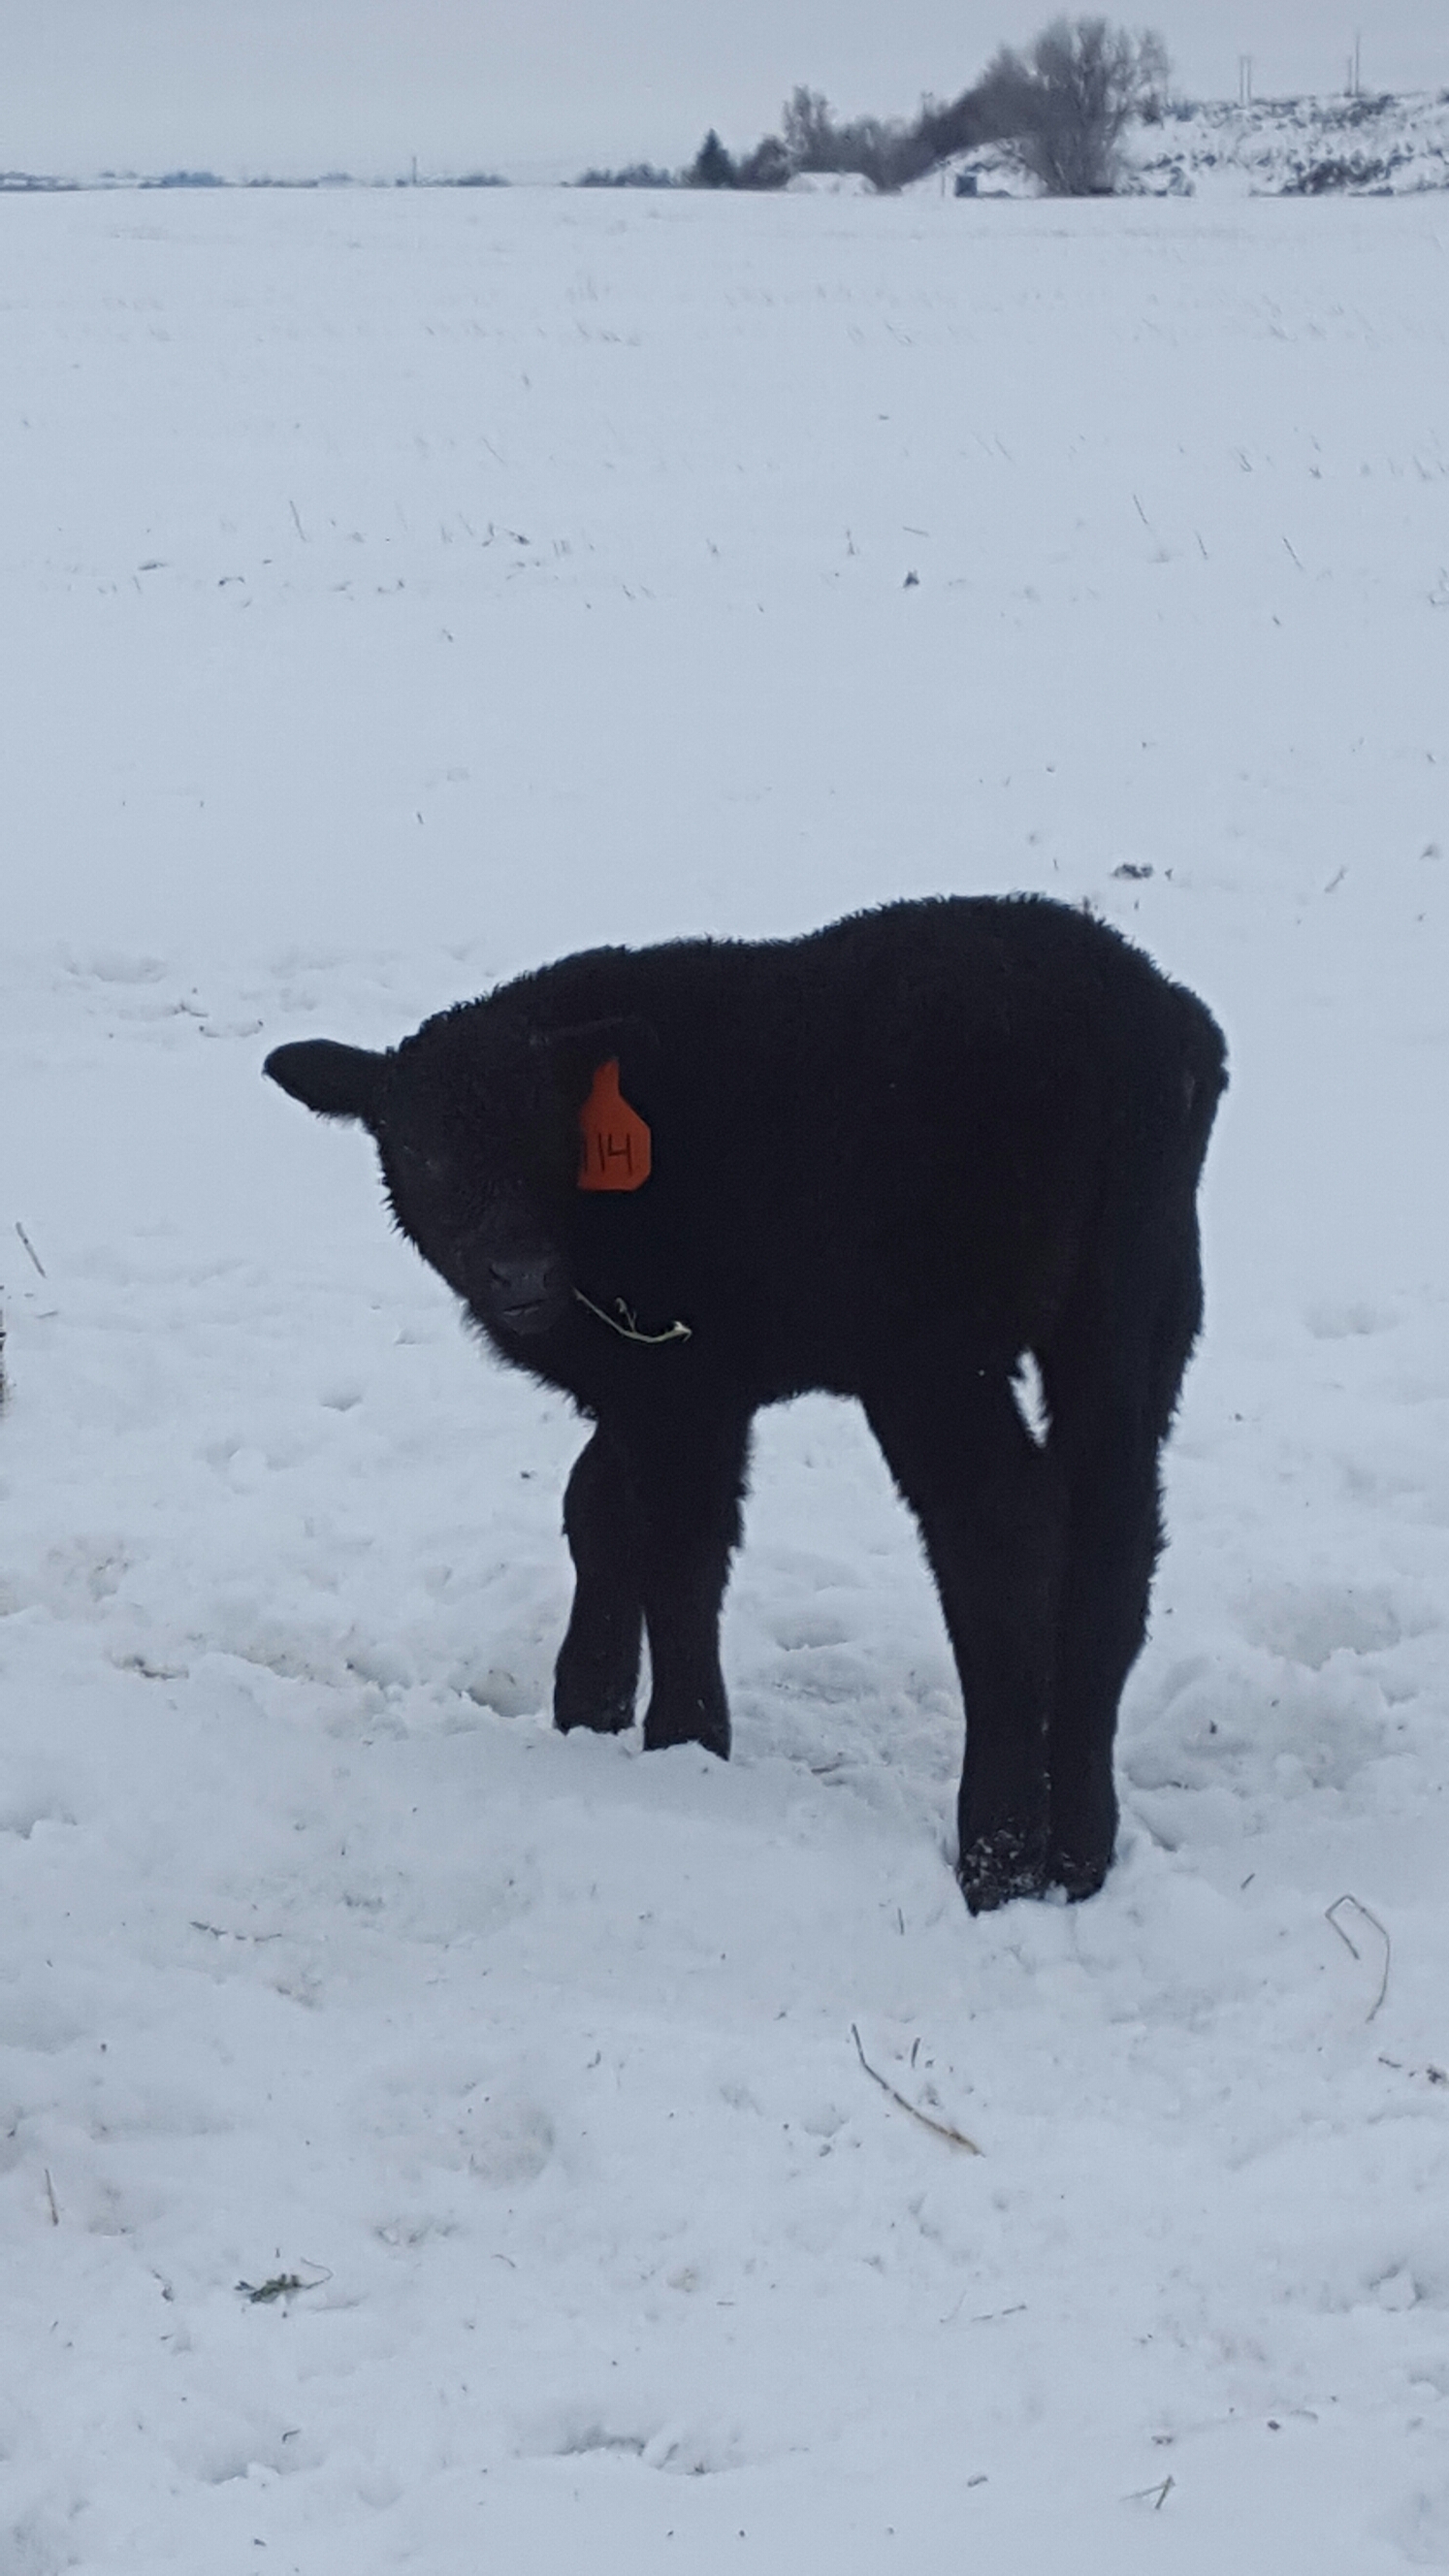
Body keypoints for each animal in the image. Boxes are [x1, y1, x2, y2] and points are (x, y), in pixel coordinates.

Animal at [265, 895, 1225, 1911]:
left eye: (553, 1135)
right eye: (416, 1149)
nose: (520, 1273)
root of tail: (1130, 1022)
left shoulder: (679, 1382)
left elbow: (680, 1546)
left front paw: (684, 1743)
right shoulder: (668, 1385)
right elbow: (599, 1507)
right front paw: (589, 1704)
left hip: (935, 1348)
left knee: (999, 1535)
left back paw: (997, 1853)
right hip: (1138, 1303)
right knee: (1114, 1532)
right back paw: (1080, 1849)